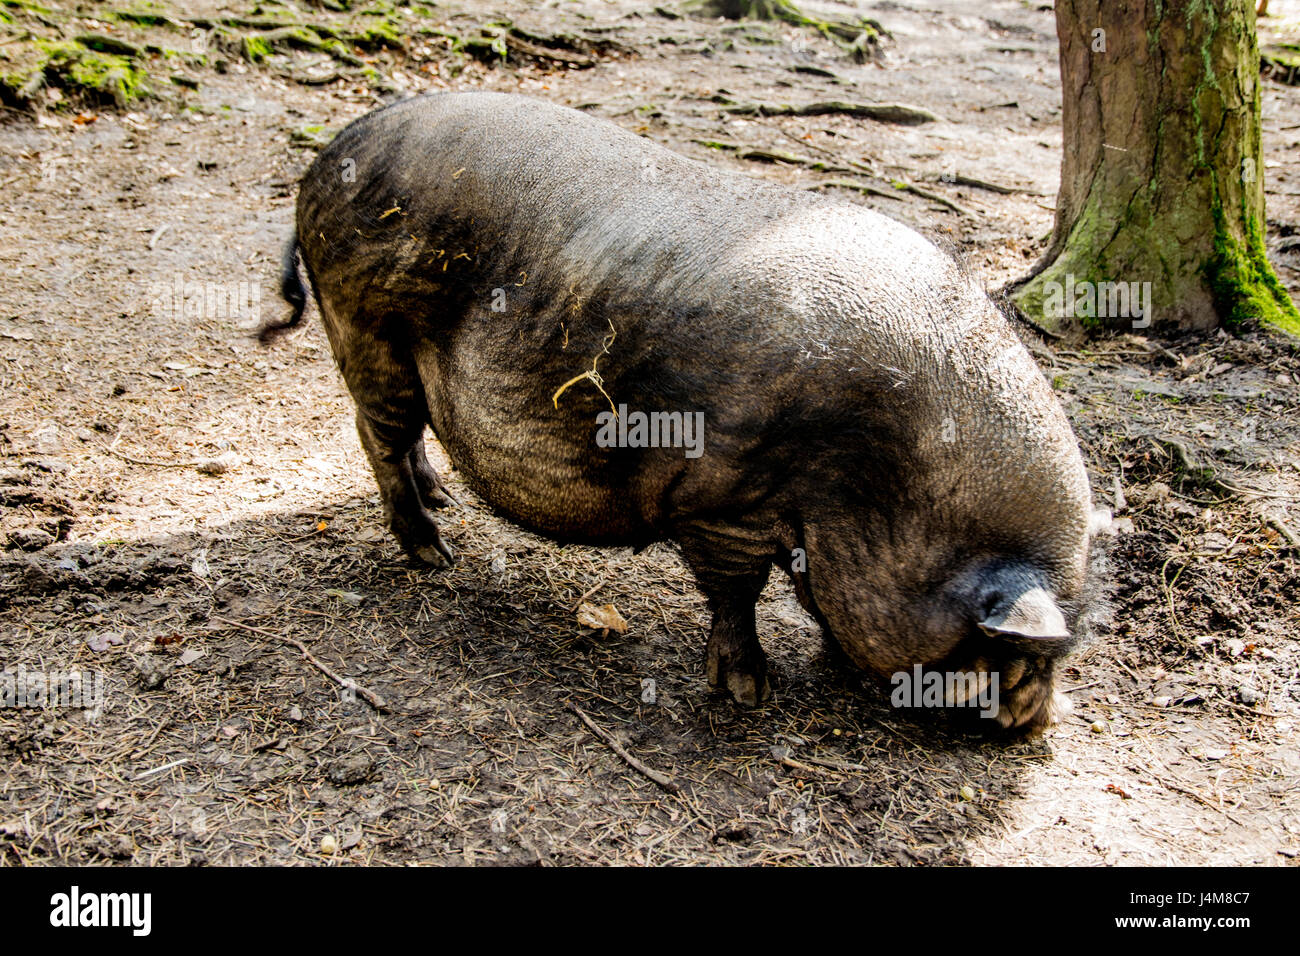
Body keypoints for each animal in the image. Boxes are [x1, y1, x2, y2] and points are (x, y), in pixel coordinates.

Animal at [267, 91, 1104, 731]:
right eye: (1016, 653)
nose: (1038, 728)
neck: (888, 485)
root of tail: (324, 157)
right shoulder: (723, 500)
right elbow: (738, 592)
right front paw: (751, 696)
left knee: (403, 440)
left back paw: (441, 503)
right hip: (366, 326)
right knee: (377, 435)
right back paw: (432, 554)